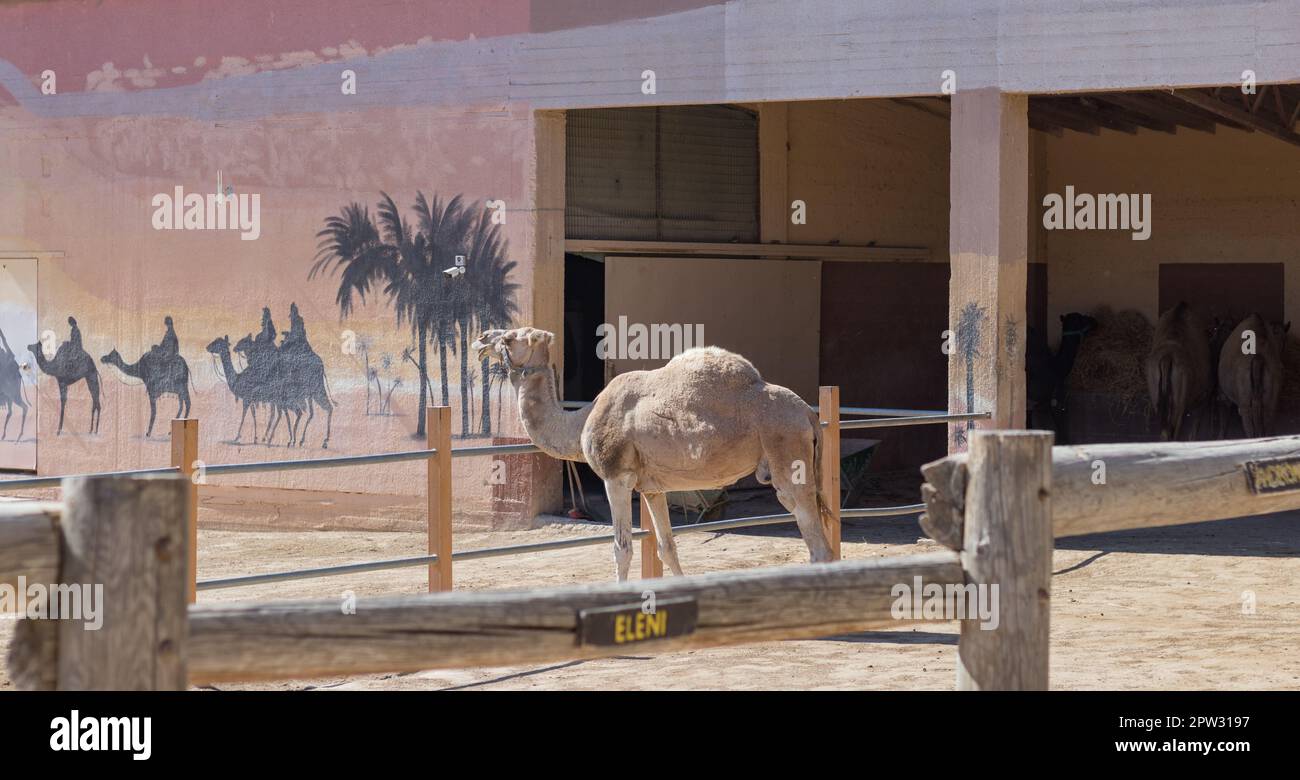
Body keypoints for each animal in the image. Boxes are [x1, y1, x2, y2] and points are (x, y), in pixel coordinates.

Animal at [473, 327, 834, 581]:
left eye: (510, 337)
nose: (480, 339)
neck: (579, 422)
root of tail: (808, 413)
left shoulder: (616, 477)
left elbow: (622, 548)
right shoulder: (652, 488)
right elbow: (667, 547)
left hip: (787, 451)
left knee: (815, 540)